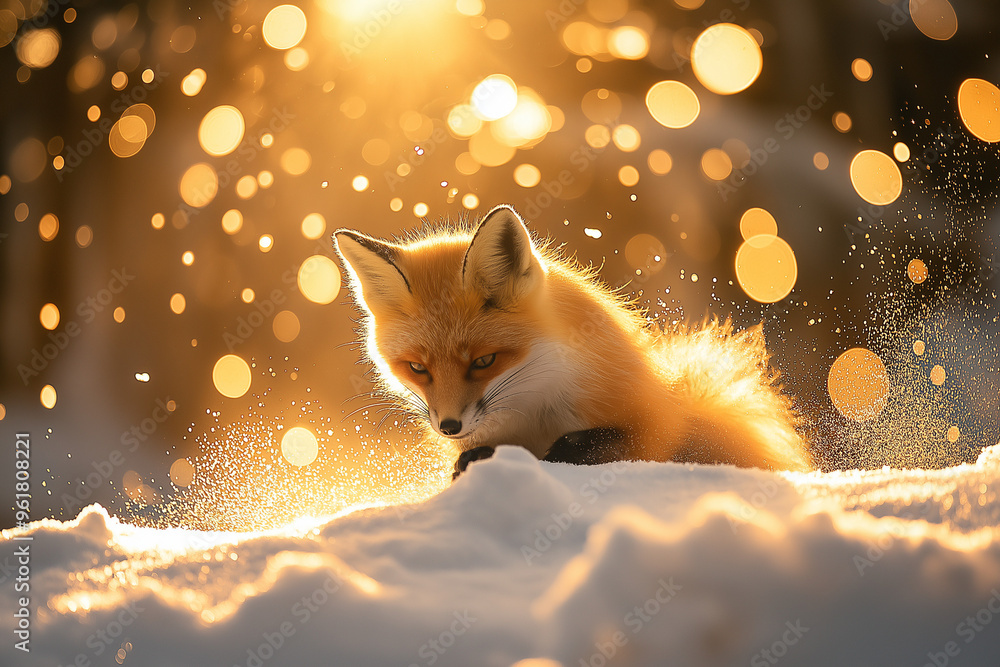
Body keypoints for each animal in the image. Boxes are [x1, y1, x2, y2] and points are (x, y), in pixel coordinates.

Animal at [334, 204, 812, 478]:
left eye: (485, 361)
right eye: (417, 368)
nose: (449, 426)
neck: (535, 405)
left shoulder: (655, 424)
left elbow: (605, 442)